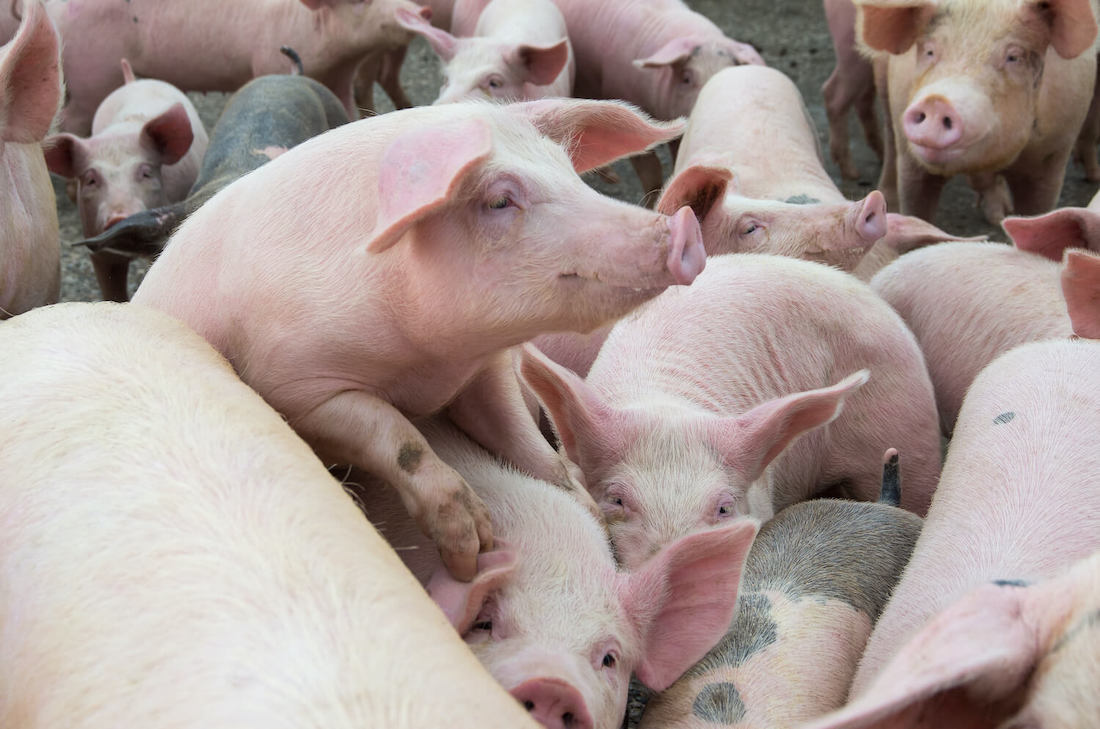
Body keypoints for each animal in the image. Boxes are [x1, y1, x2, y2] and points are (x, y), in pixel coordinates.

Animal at [43, 59, 208, 302]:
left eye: (146, 173)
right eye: (91, 180)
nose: (119, 216)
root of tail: (133, 82)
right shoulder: (97, 245)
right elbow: (111, 290)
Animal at [46, 0, 428, 134]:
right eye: (360, 2)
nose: (421, 10)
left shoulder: (341, 79)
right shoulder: (267, 60)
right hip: (91, 74)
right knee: (70, 120)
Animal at [132, 98, 707, 582]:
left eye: (570, 172)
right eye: (500, 200)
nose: (683, 229)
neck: (430, 363)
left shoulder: (483, 371)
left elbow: (526, 444)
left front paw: (585, 512)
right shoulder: (293, 387)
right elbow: (397, 435)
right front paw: (473, 552)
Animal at [856, 0, 1100, 225]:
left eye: (1013, 57)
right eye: (930, 51)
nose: (937, 101)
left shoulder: (1054, 156)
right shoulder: (912, 162)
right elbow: (917, 209)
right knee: (890, 135)